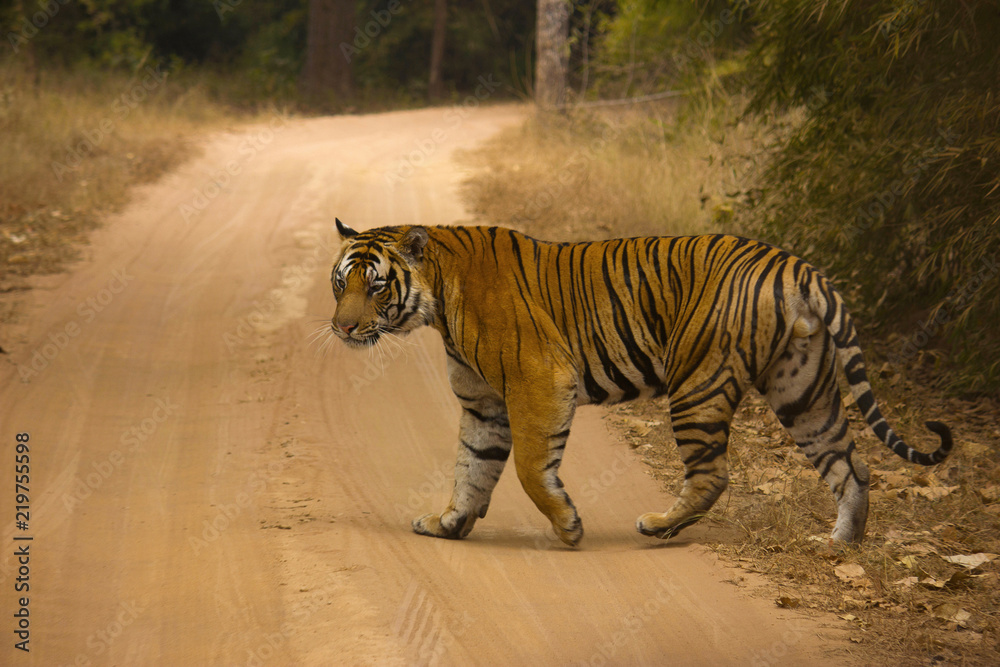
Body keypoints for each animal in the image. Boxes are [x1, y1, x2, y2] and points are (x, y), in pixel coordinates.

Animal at [328, 219, 952, 547]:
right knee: (852, 465)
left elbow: (529, 468)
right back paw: (841, 543)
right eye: (340, 283)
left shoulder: (539, 380)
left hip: (698, 382)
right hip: (803, 391)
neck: (437, 298)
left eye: (376, 286)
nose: (342, 327)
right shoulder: (484, 404)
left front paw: (568, 526)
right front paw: (450, 523)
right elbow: (471, 467)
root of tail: (797, 266)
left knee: (713, 475)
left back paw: (659, 525)